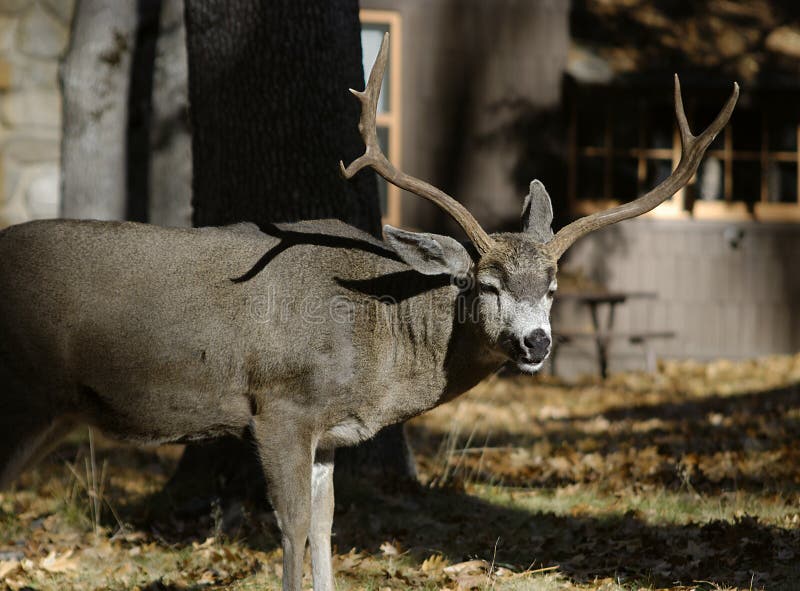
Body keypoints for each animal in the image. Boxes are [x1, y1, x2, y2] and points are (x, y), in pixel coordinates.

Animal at [0, 33, 736, 591]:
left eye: (552, 286)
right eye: (486, 283)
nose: (536, 344)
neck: (377, 336)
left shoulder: (328, 432)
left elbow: (327, 532)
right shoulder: (278, 405)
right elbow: (294, 532)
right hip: (23, 393)